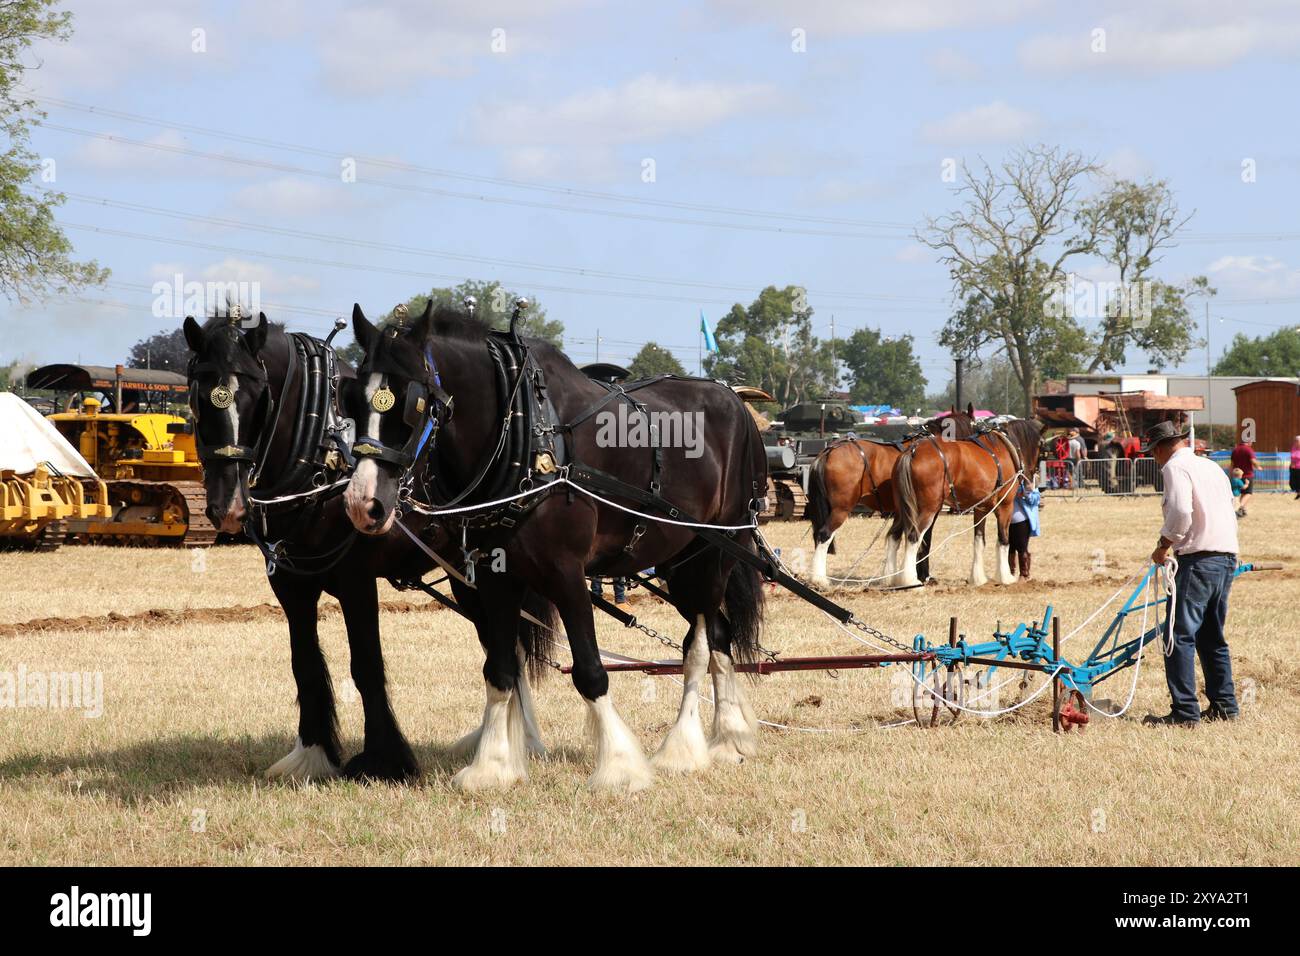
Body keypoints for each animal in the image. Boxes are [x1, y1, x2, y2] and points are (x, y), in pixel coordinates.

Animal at [182, 308, 553, 783]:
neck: (323, 456)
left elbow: (366, 665)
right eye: (197, 396)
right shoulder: (289, 585)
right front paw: (312, 753)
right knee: (502, 644)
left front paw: (384, 759)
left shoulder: (356, 580)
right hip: (464, 577)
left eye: (258, 395)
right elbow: (304, 664)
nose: (227, 505)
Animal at [342, 302, 767, 791]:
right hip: (679, 565)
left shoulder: (566, 573)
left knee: (699, 647)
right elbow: (500, 670)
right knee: (718, 635)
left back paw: (688, 747)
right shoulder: (495, 576)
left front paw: (619, 767)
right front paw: (492, 765)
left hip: (715, 554)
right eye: (352, 399)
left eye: (413, 404)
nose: (363, 503)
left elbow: (590, 670)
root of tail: (734, 401)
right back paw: (728, 738)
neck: (528, 434)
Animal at [889, 416, 1044, 588]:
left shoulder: (981, 509)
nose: (1032, 480)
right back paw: (910, 580)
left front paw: (978, 578)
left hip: (903, 509)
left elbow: (979, 541)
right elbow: (1003, 540)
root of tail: (912, 451)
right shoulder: (1005, 506)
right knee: (913, 537)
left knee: (893, 536)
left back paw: (891, 579)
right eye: (1041, 445)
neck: (1004, 448)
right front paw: (1005, 577)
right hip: (927, 509)